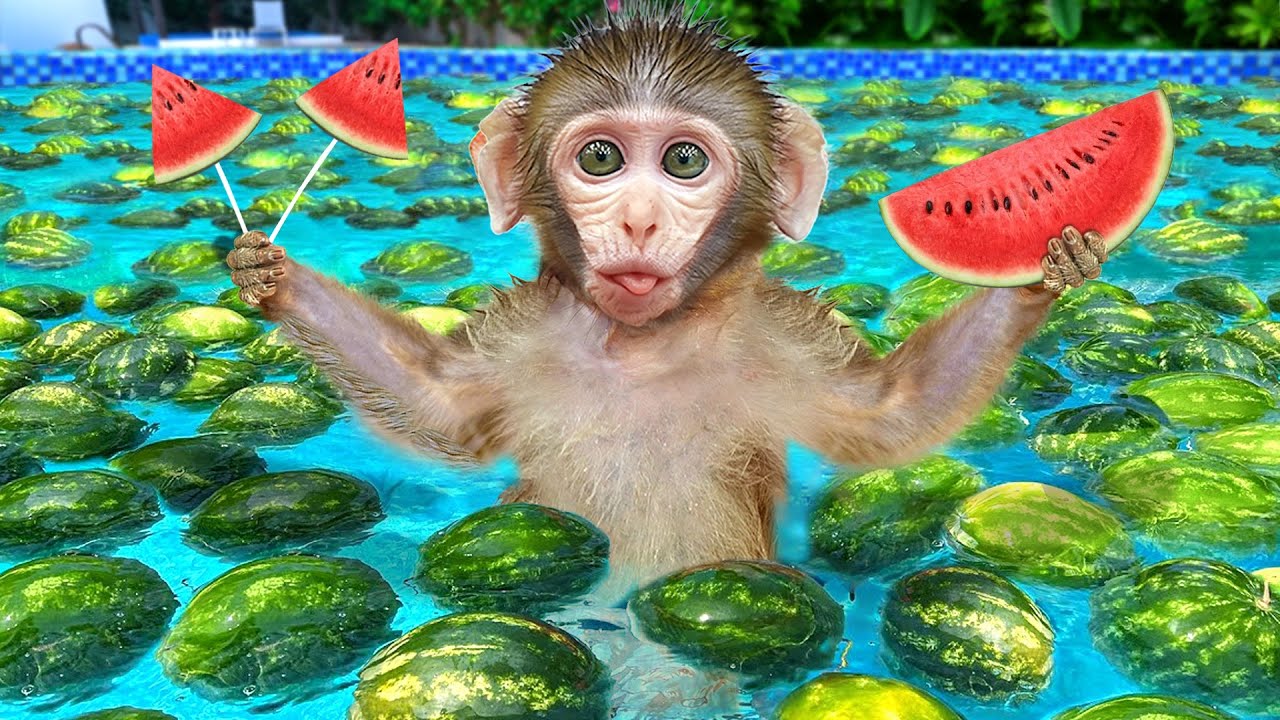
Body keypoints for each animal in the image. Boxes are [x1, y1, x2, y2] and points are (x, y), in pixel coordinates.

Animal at [227, 3, 1110, 602]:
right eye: (601, 158)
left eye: (683, 161)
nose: (639, 218)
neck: (644, 347)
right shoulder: (527, 331)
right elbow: (436, 403)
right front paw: (275, 277)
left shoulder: (780, 337)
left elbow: (890, 411)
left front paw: (1043, 273)